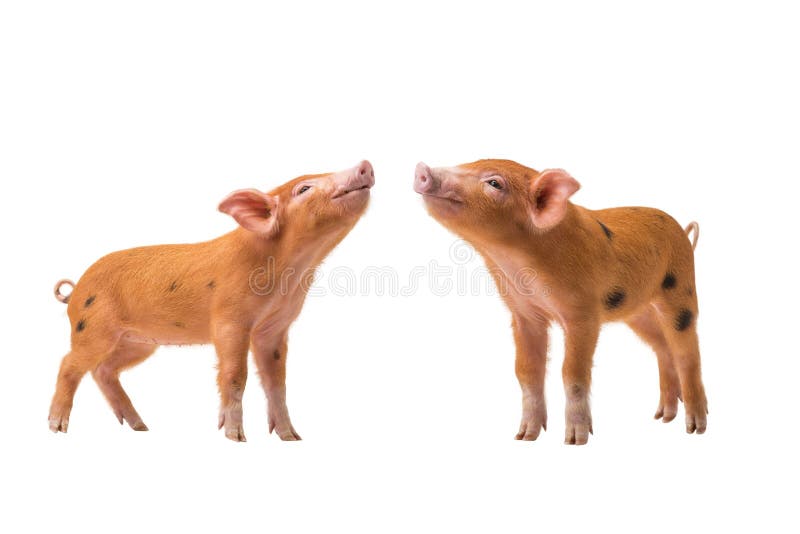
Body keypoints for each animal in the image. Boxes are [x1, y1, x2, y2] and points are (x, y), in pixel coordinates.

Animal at [49, 160, 375, 441]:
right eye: (304, 189)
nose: (365, 164)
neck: (293, 273)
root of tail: (75, 290)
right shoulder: (230, 321)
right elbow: (235, 376)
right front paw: (236, 437)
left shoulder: (274, 329)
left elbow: (277, 383)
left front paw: (292, 438)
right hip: (93, 329)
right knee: (69, 364)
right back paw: (58, 427)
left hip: (137, 342)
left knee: (103, 371)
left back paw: (141, 427)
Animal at [414, 159, 707, 445]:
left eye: (495, 183)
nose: (422, 169)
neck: (515, 264)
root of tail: (683, 232)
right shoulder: (524, 315)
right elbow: (526, 371)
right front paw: (524, 436)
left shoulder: (584, 314)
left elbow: (572, 373)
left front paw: (574, 440)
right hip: (638, 311)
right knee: (663, 348)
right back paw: (662, 417)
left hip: (681, 290)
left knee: (687, 353)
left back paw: (695, 428)